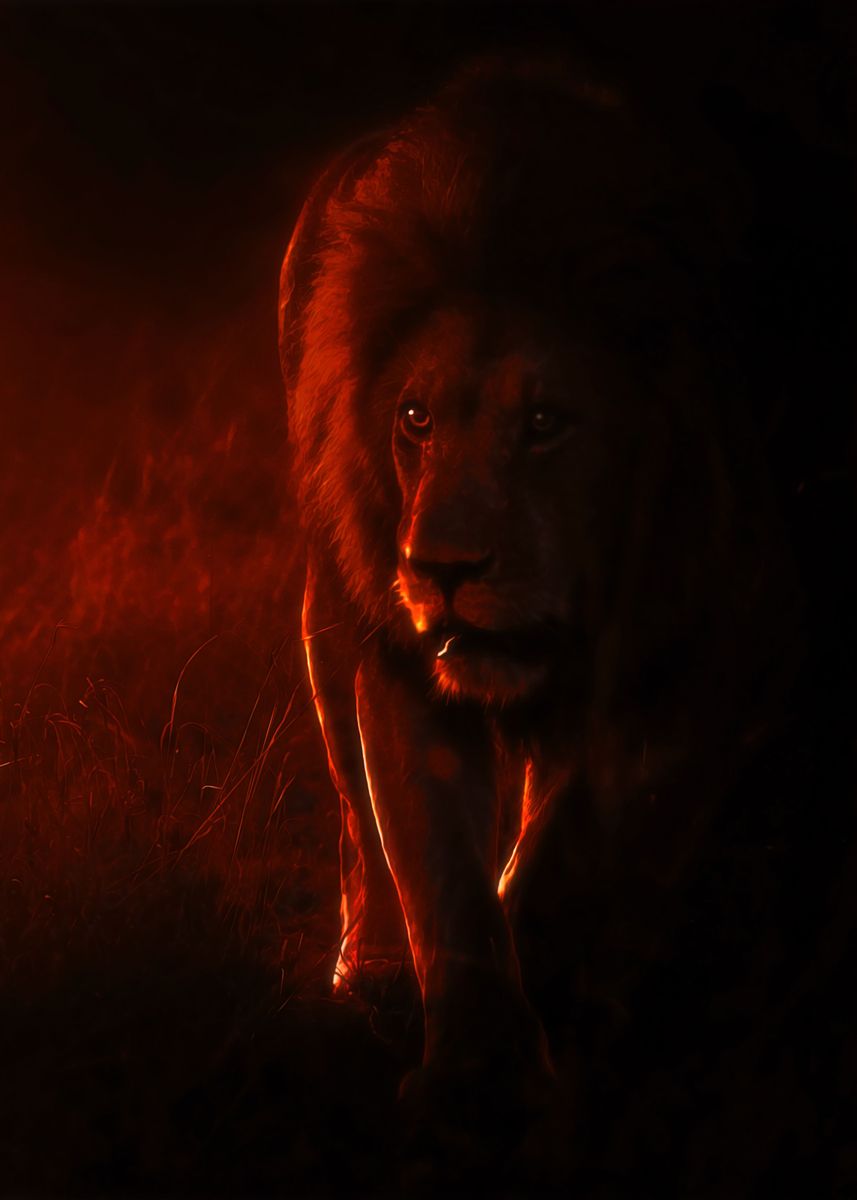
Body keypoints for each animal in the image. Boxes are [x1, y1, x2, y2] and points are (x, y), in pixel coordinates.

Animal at [278, 54, 805, 1170]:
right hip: (329, 628)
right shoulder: (405, 674)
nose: (439, 569)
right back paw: (372, 974)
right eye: (415, 418)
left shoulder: (718, 657)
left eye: (546, 423)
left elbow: (581, 854)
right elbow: (441, 873)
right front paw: (475, 1081)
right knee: (358, 823)